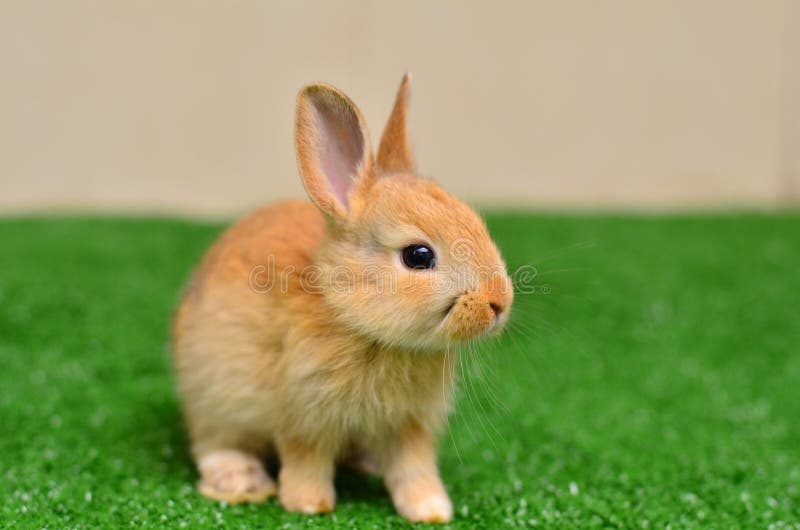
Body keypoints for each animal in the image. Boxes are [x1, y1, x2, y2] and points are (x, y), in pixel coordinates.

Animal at [172, 74, 513, 524]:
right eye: (418, 256)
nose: (499, 302)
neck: (356, 320)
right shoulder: (305, 414)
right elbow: (306, 460)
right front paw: (309, 505)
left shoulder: (408, 425)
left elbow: (413, 467)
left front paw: (430, 510)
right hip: (213, 395)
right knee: (213, 443)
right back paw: (242, 480)